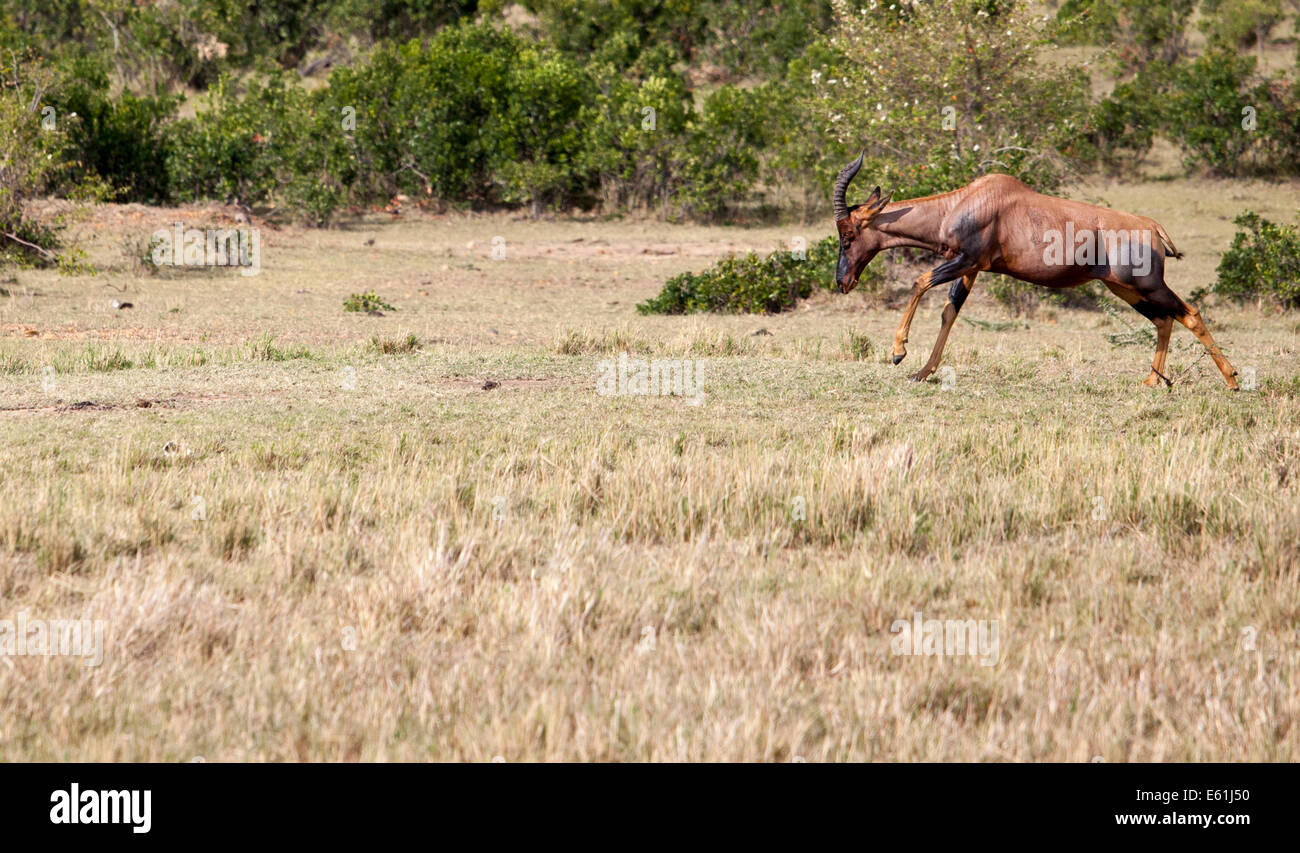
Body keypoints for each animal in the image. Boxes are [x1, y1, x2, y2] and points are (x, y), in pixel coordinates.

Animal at [831, 154, 1240, 389]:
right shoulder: (971, 268)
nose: (842, 282)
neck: (968, 201)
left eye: (848, 234)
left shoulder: (964, 261)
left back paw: (1233, 380)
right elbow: (950, 312)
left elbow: (918, 283)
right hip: (1123, 289)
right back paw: (1150, 382)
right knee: (1164, 320)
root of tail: (1151, 226)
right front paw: (922, 371)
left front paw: (898, 352)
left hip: (1146, 284)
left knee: (1189, 313)